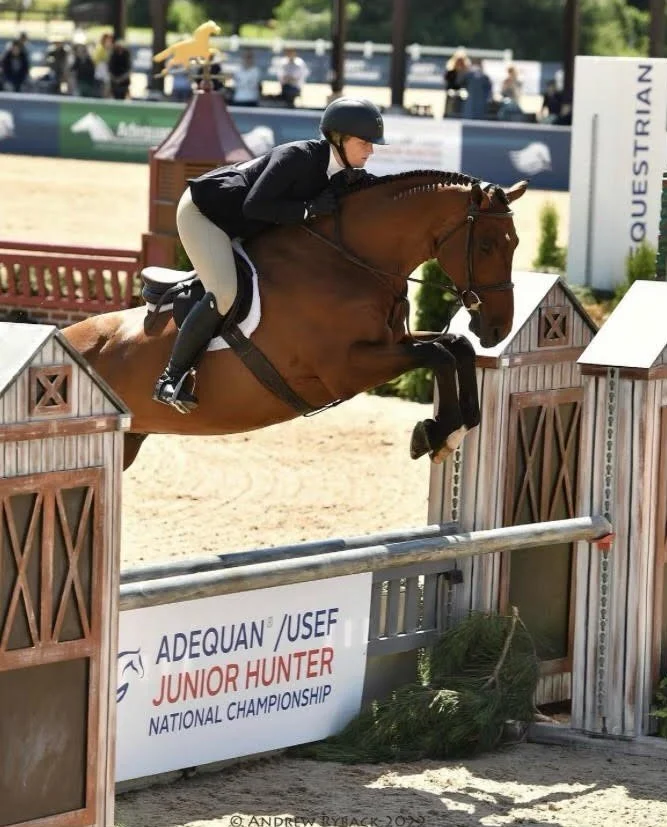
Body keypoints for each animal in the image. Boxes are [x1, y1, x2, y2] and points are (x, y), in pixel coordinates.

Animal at [62, 170, 527, 471]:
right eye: (486, 245)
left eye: (516, 243)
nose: (497, 328)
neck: (348, 262)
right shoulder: (347, 368)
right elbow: (439, 355)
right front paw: (437, 432)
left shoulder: (394, 342)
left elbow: (454, 347)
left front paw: (451, 429)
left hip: (128, 440)